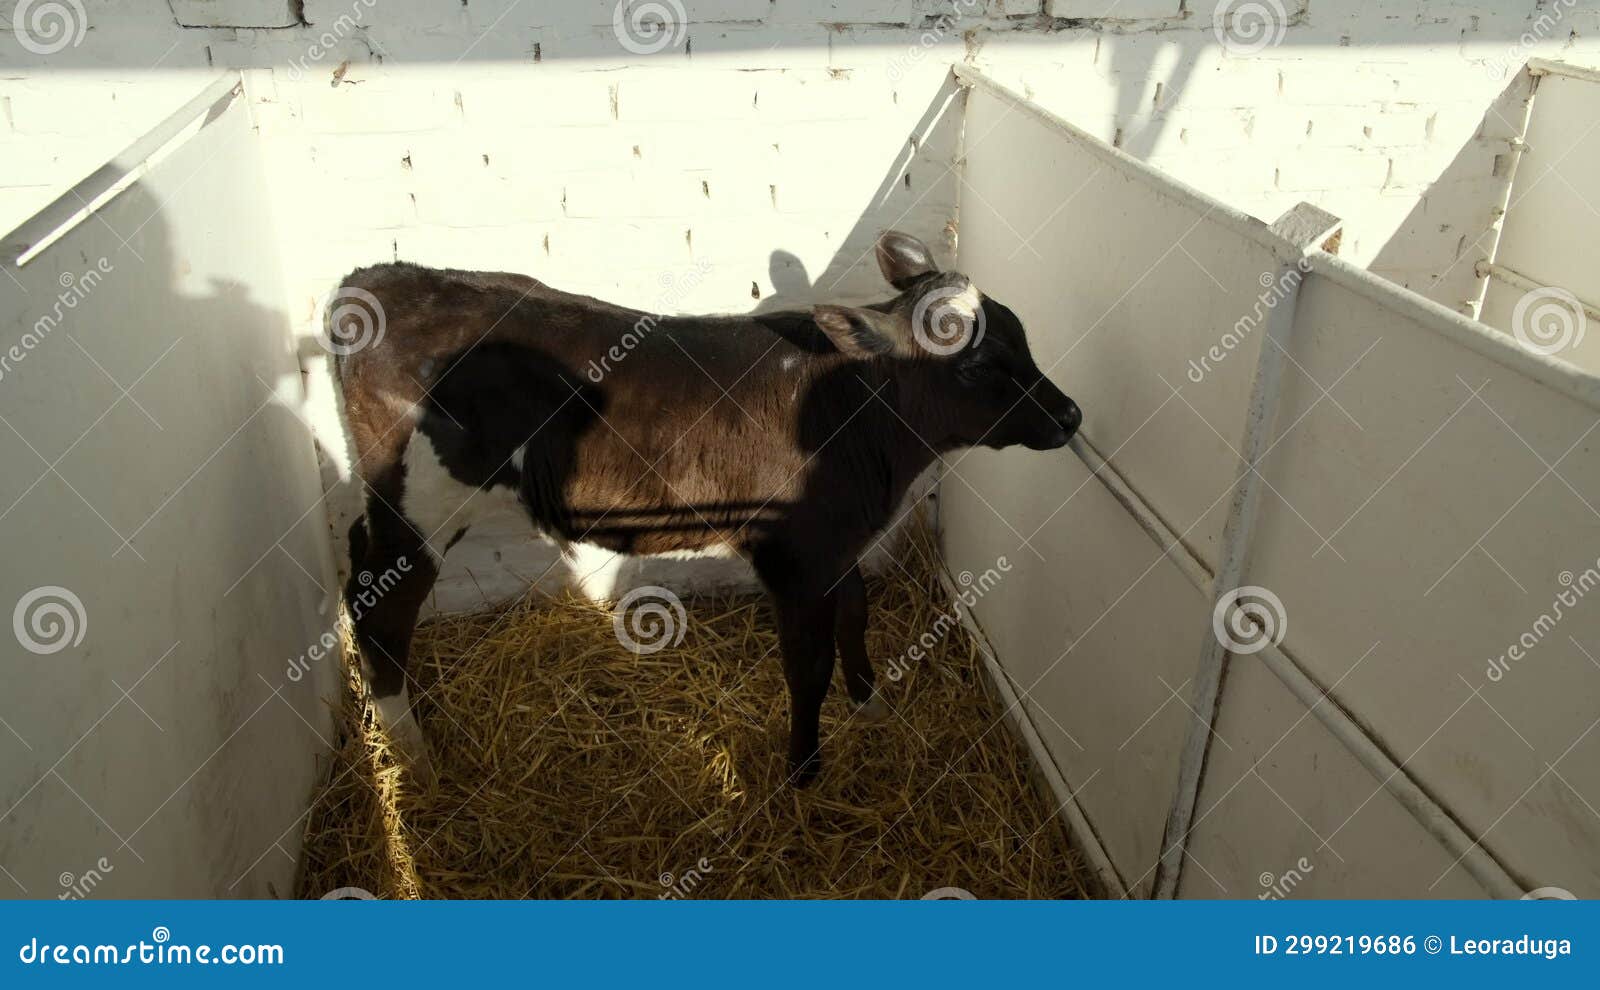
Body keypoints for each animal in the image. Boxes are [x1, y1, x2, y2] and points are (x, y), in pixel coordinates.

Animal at [334, 230, 1080, 786]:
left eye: (1021, 336)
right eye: (976, 366)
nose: (1070, 415)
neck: (859, 420)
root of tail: (383, 278)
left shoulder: (837, 544)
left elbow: (856, 615)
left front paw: (869, 706)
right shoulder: (794, 558)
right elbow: (807, 666)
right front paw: (802, 773)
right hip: (421, 504)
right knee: (380, 609)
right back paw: (415, 758)